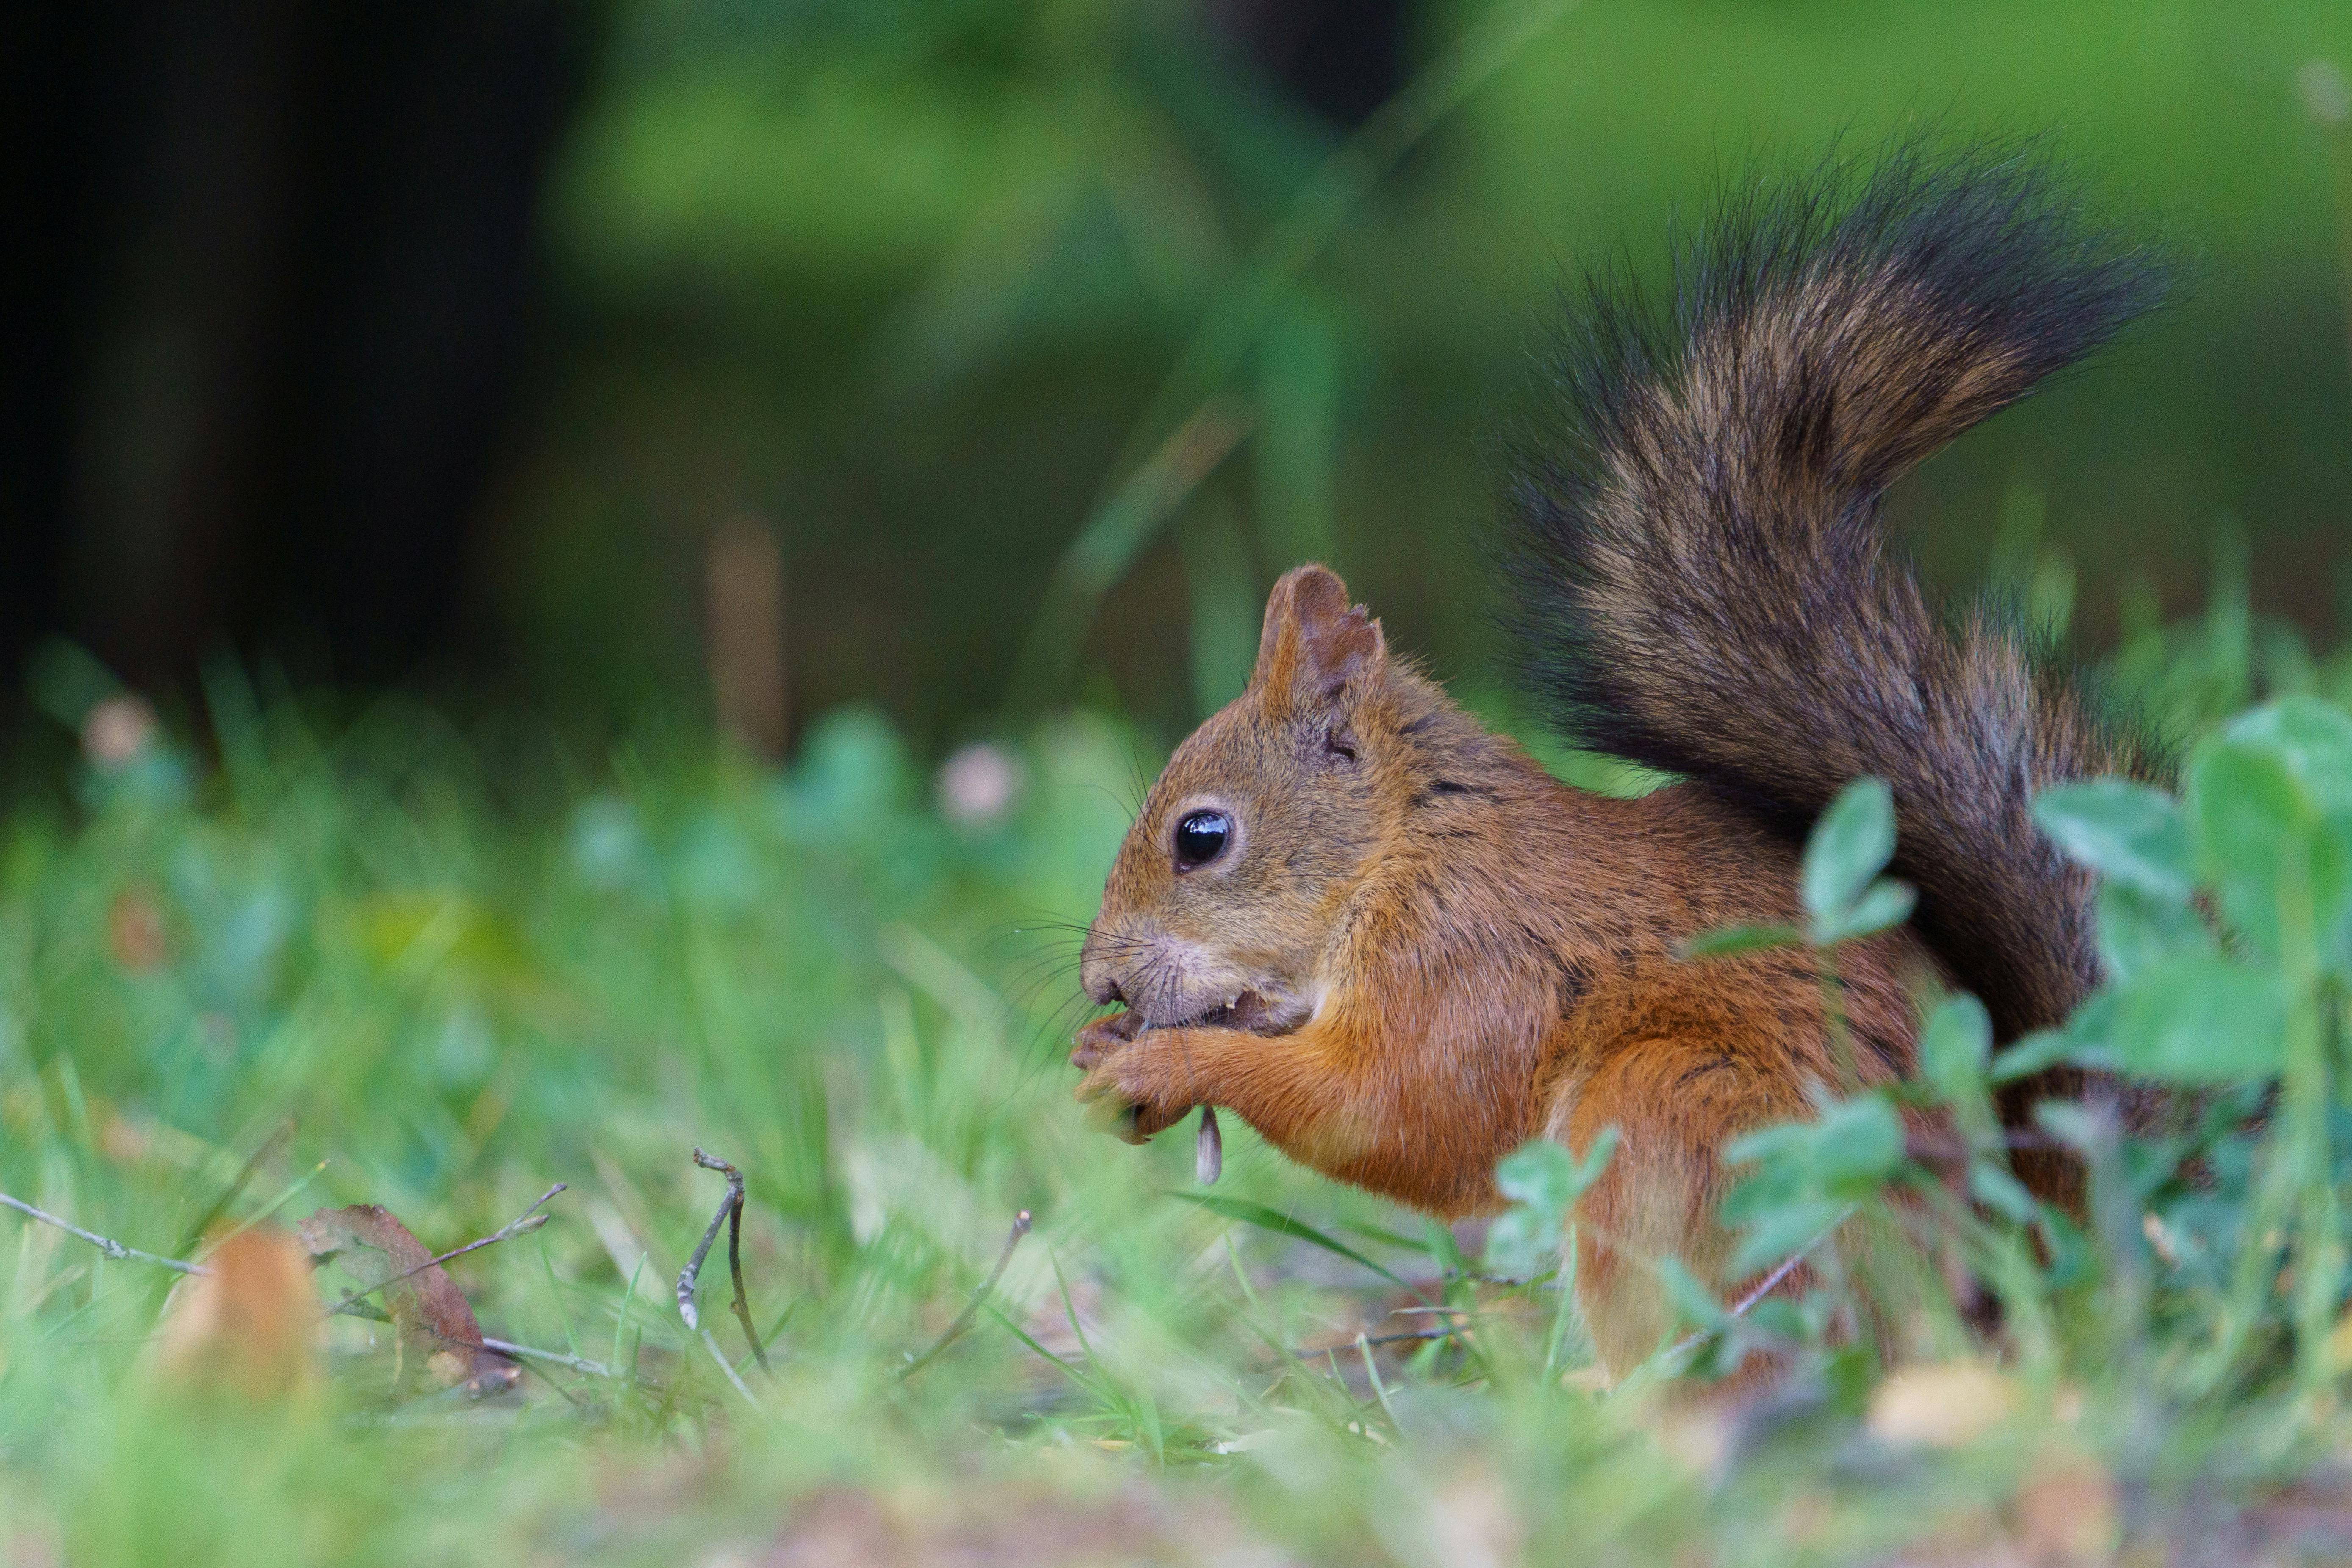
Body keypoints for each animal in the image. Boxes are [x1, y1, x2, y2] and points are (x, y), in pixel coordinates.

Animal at [1070, 147, 2167, 1375]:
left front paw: (1166, 1063)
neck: (1404, 851)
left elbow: (1396, 1115)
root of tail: (1994, 1287)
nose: (1101, 979)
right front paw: (1109, 1045)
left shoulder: (1474, 964)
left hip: (1673, 1114)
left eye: (1201, 836)